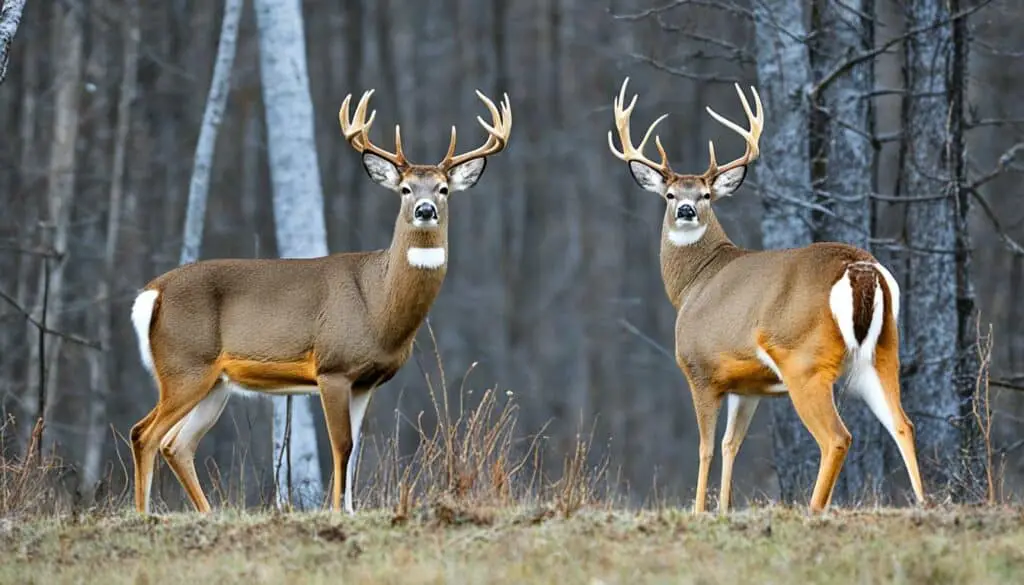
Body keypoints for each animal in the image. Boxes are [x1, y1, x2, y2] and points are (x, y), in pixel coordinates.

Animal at [127, 88, 511, 515]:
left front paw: (350, 510)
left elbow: (356, 449)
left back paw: (206, 513)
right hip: (184, 366)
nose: (425, 210)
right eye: (405, 189)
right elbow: (341, 445)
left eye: (443, 189)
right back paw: (143, 514)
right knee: (143, 433)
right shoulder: (332, 367)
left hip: (215, 383)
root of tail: (153, 293)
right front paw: (335, 510)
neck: (378, 307)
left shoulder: (367, 381)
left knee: (176, 444)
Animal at [607, 78, 926, 513]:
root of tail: (859, 267)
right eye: (670, 195)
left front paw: (700, 510)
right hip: (881, 353)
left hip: (804, 361)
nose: (687, 210)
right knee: (903, 424)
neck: (691, 286)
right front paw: (723, 508)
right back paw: (925, 503)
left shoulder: (700, 369)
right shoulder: (747, 385)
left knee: (837, 437)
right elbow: (731, 445)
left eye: (706, 195)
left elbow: (706, 448)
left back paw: (814, 509)